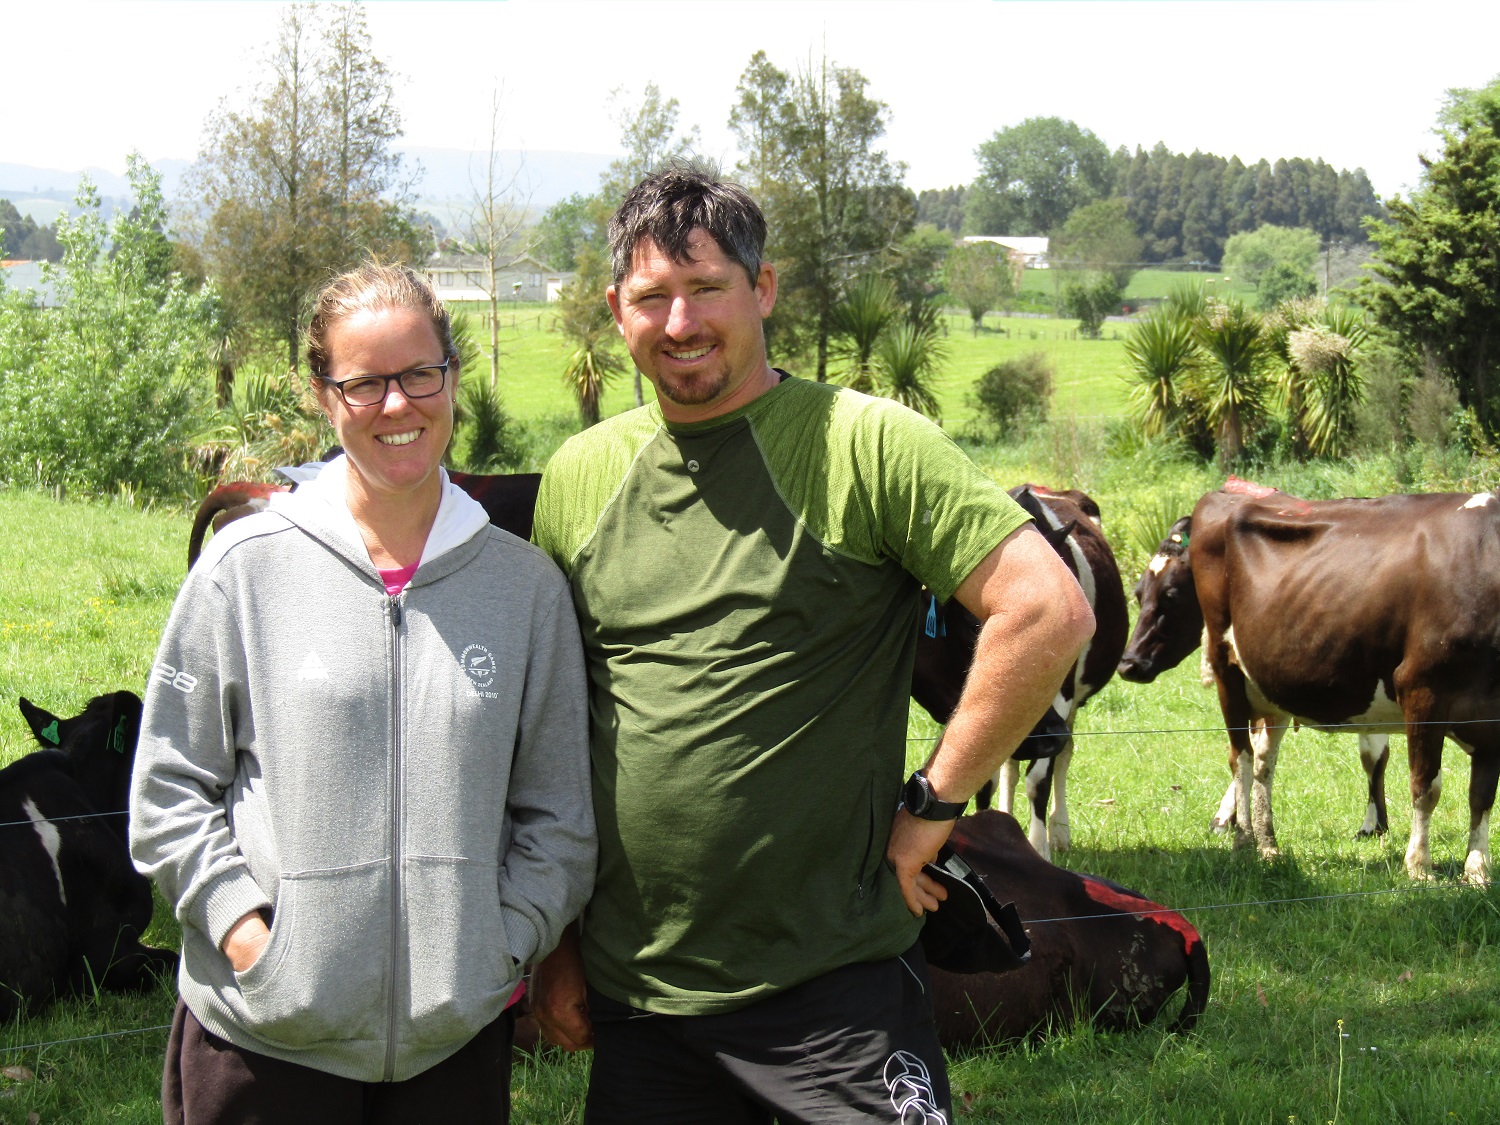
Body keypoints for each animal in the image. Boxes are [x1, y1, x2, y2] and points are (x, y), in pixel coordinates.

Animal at [912, 484, 1129, 859]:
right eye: (972, 623)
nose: (1053, 734)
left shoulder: (1060, 696)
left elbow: (1039, 780)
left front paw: (1039, 848)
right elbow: (985, 779)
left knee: (1062, 757)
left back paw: (1059, 830)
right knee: (1012, 767)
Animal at [1118, 481, 1500, 884]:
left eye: (1171, 595)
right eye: (1138, 594)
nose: (1128, 664)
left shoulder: (1489, 715)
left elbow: (1481, 795)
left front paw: (1477, 871)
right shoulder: (1421, 689)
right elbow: (1426, 786)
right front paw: (1420, 867)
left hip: (1270, 685)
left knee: (1263, 762)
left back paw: (1268, 844)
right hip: (1228, 671)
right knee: (1241, 757)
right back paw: (1244, 840)